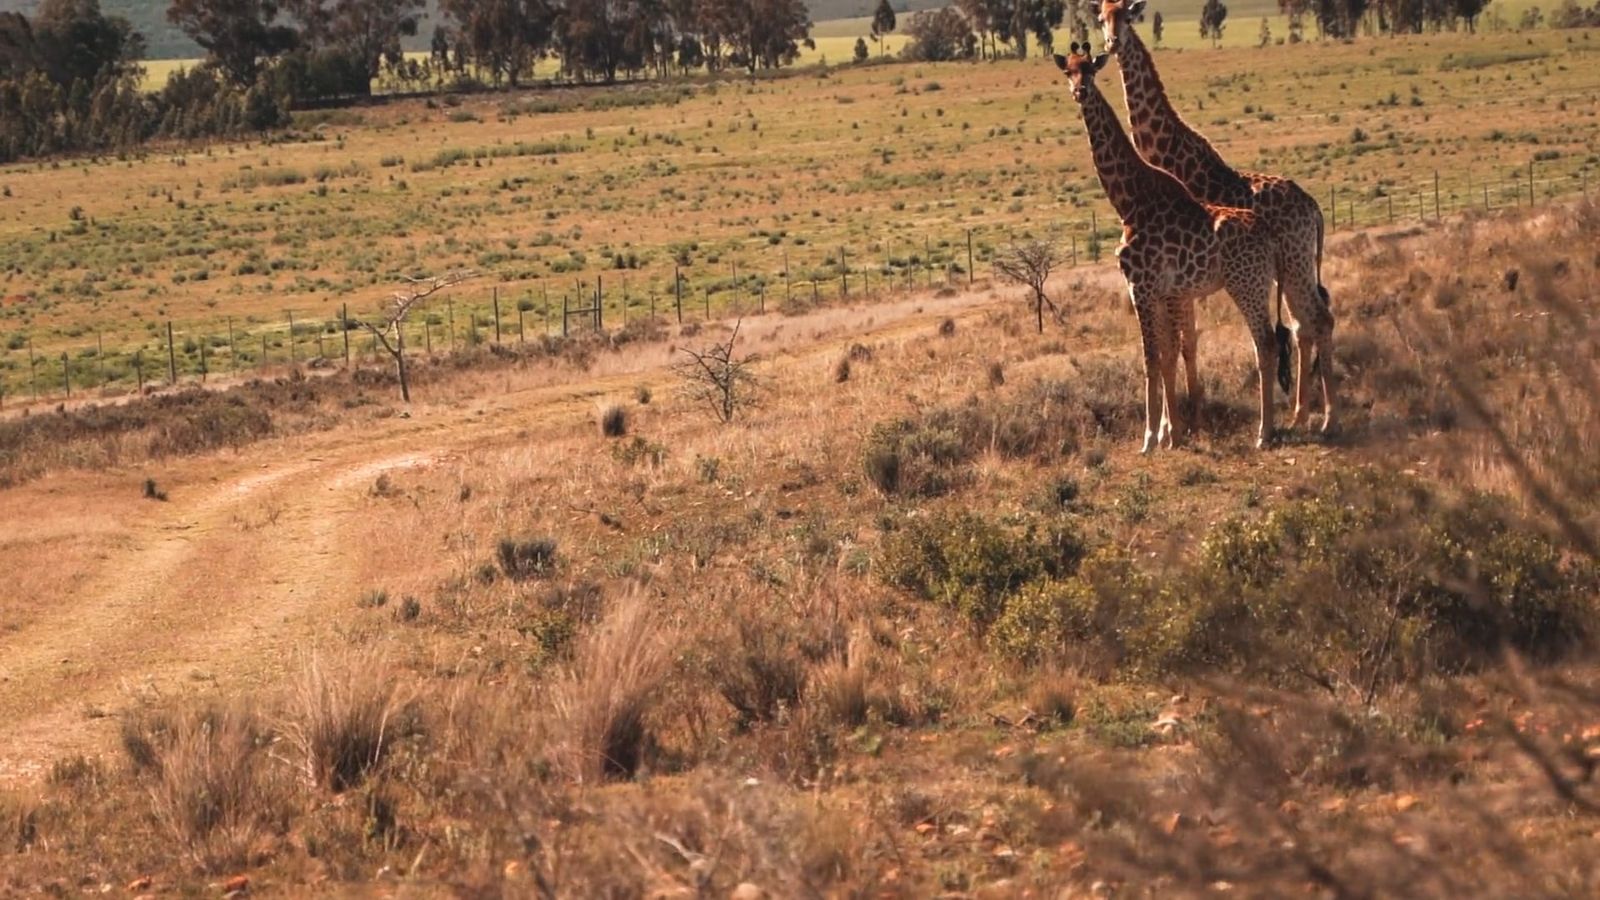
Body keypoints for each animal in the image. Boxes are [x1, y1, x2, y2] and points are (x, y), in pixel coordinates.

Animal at [1053, 45, 1279, 453]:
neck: (1128, 201)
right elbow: (1167, 354)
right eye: (1069, 72)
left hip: (1246, 284)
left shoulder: (1140, 286)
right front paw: (1168, 432)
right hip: (1256, 284)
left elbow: (1151, 358)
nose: (1080, 92)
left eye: (1091, 70)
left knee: (1265, 343)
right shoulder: (1161, 291)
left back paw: (1264, 432)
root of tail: (1269, 237)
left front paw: (1151, 437)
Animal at [1098, 0, 1336, 435]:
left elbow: (1179, 342)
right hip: (1293, 269)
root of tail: (1314, 209)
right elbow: (1188, 341)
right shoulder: (1181, 280)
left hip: (1293, 265)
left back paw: (1324, 419)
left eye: (1127, 13)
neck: (1165, 155)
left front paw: (1176, 424)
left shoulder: (1176, 277)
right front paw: (1185, 420)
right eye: (1101, 16)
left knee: (1317, 320)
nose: (1112, 42)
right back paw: (1299, 414)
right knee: (1303, 325)